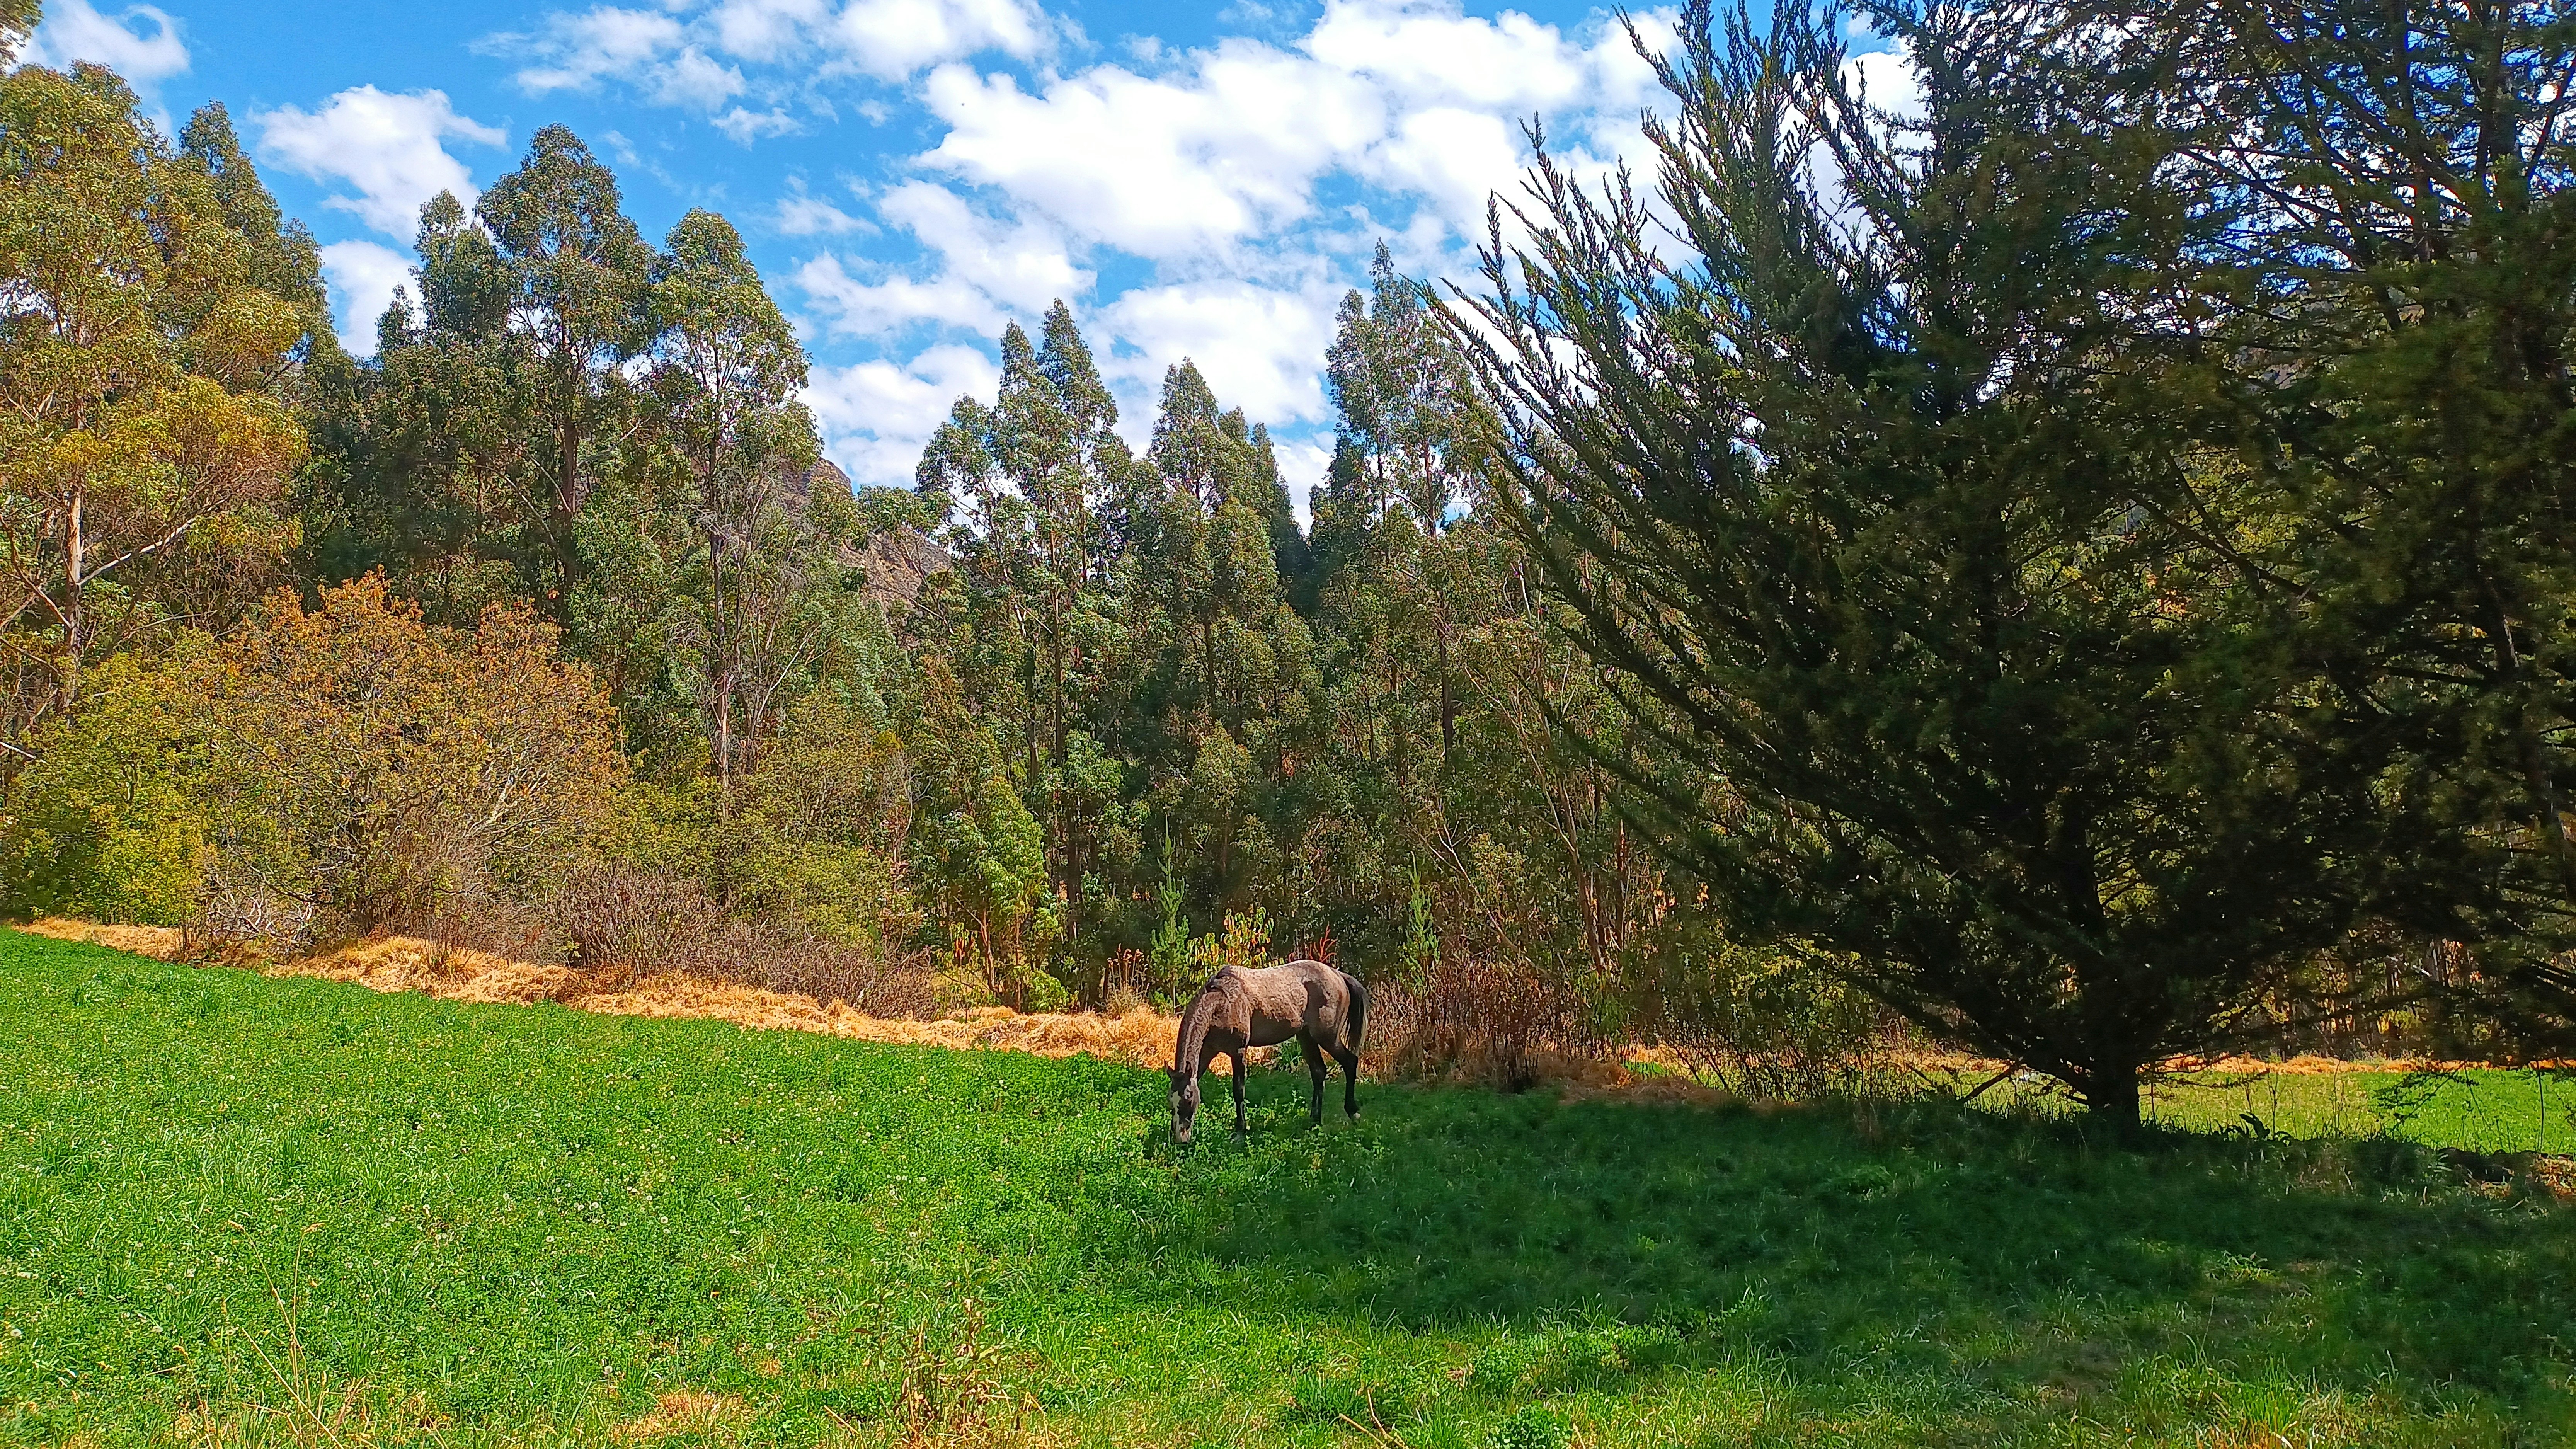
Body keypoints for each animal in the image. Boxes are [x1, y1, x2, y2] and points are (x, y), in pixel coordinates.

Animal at [1169, 959, 1367, 1143]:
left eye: (1188, 1099)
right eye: (1171, 1102)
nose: (1180, 1139)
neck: (1222, 1002)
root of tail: (1338, 975)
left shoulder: (1238, 1051)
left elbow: (1239, 1091)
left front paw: (1240, 1132)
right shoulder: (1208, 1051)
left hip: (1327, 1037)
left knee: (1350, 1062)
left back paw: (1353, 1113)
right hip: (1307, 1038)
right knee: (1319, 1072)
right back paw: (1315, 1121)